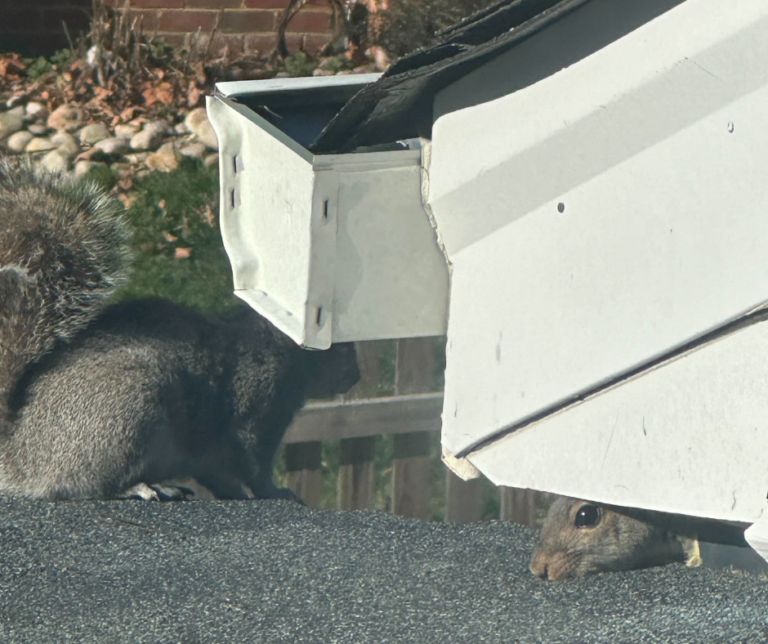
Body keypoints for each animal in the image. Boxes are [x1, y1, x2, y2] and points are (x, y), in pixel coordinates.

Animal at [0, 157, 359, 501]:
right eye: (336, 345)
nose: (355, 376)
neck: (275, 345)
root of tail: (21, 457)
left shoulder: (213, 452)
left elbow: (218, 474)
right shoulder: (254, 406)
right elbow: (252, 463)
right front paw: (276, 491)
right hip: (124, 412)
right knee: (88, 484)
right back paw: (138, 488)